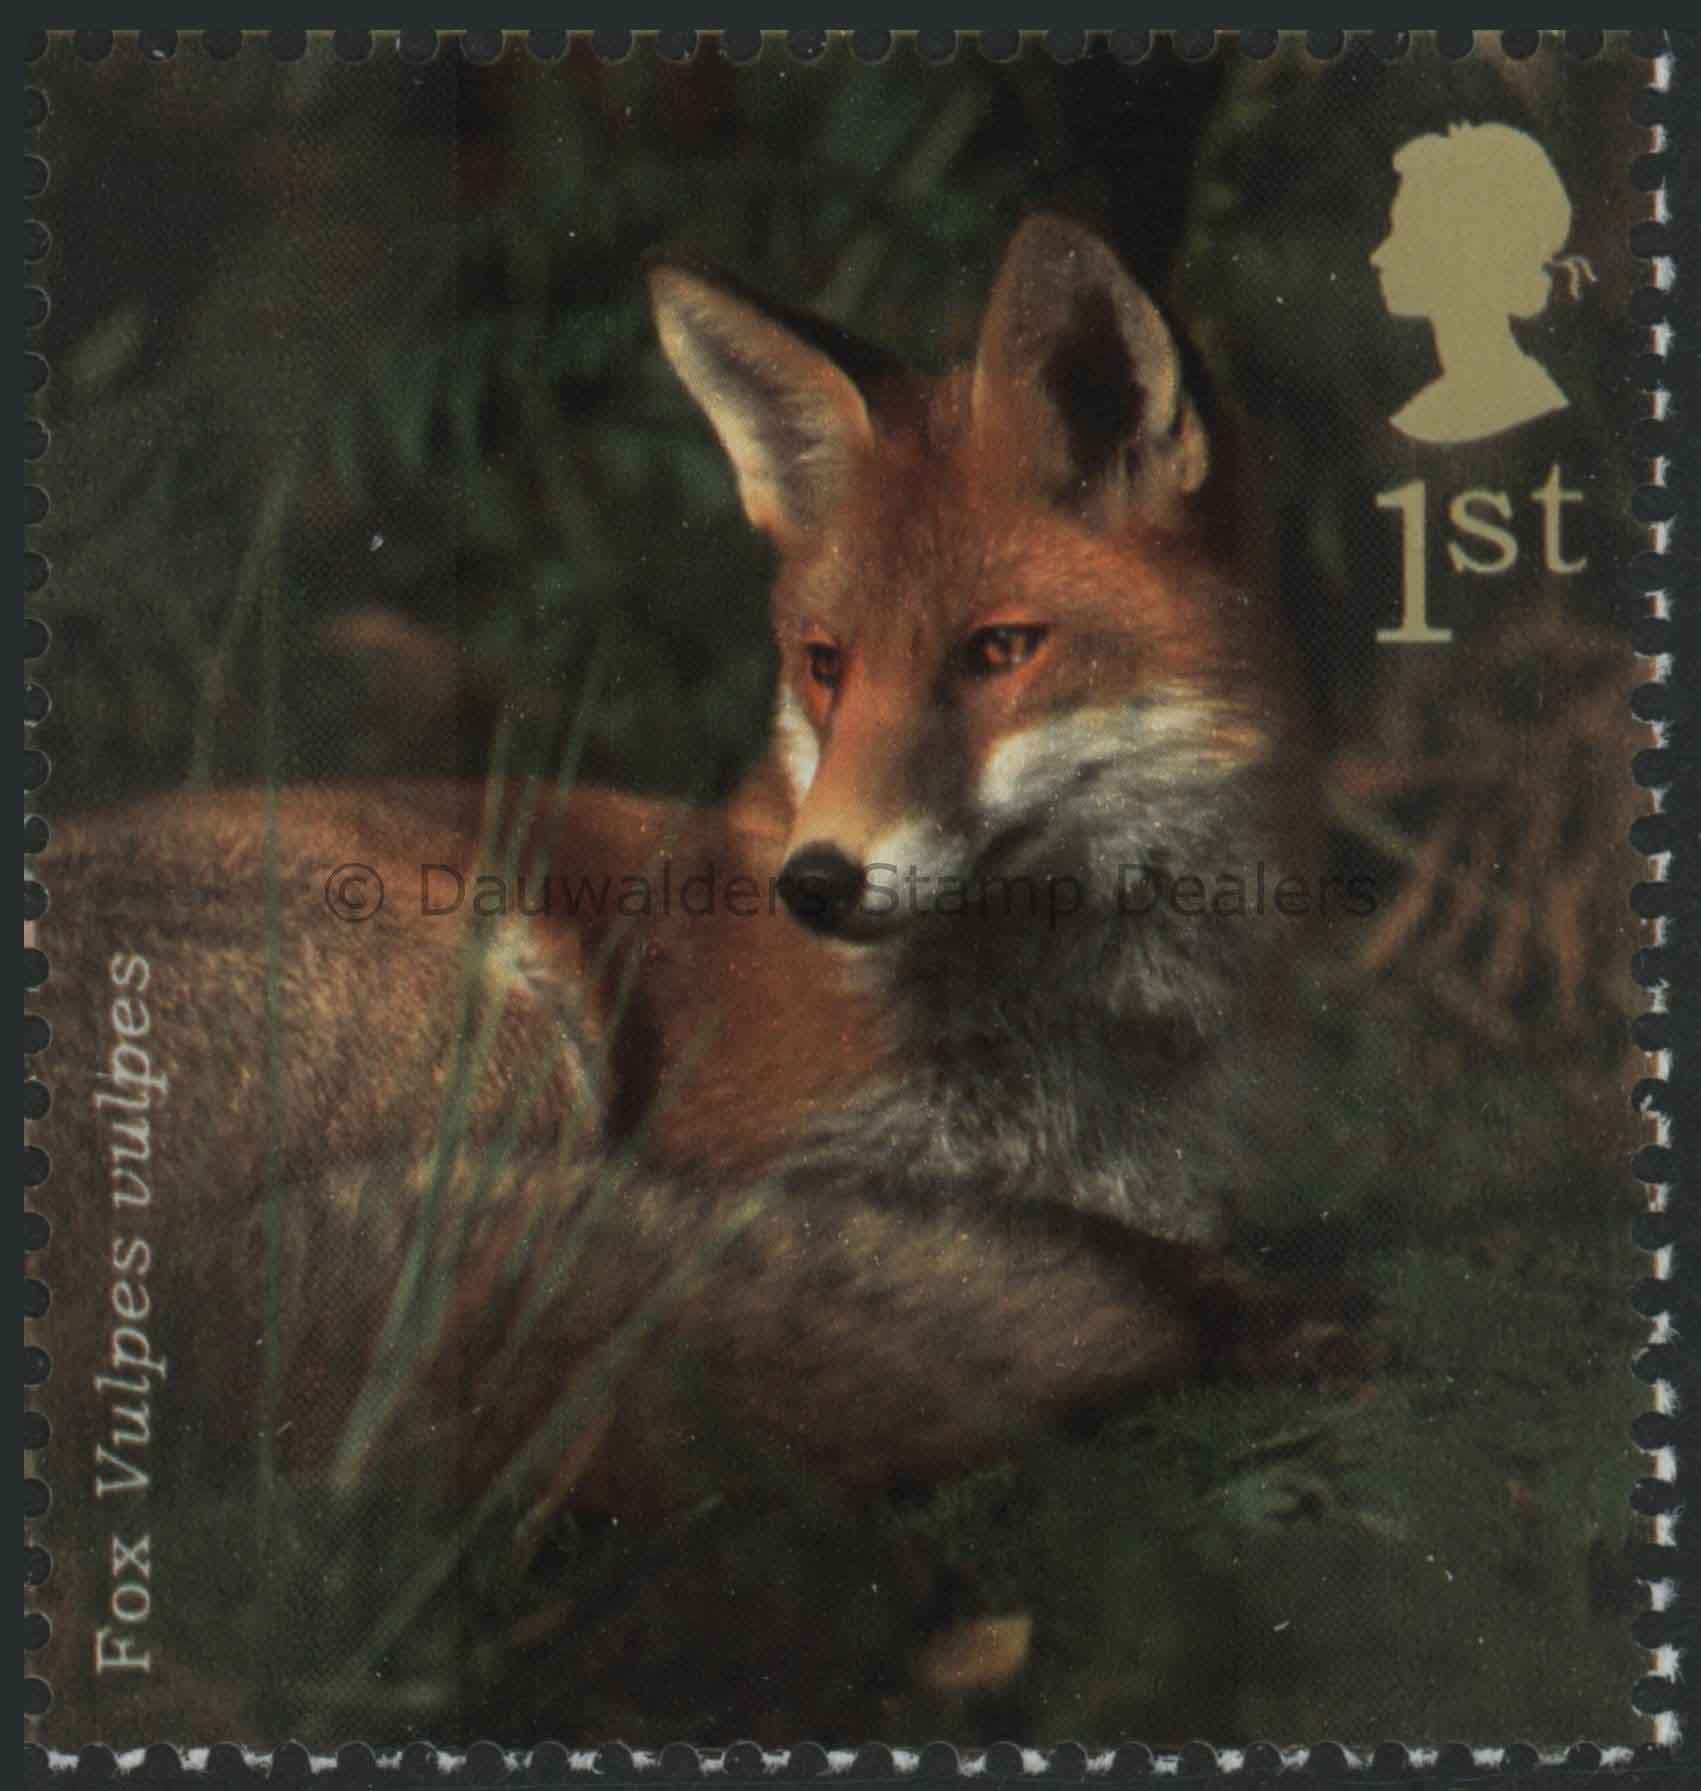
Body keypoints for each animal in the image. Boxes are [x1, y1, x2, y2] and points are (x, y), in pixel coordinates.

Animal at [30, 218, 1336, 1725]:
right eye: (826, 665)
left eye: (1000, 650)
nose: (817, 882)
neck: (1077, 1054)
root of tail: (114, 1302)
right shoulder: (749, 1159)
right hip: (509, 1030)